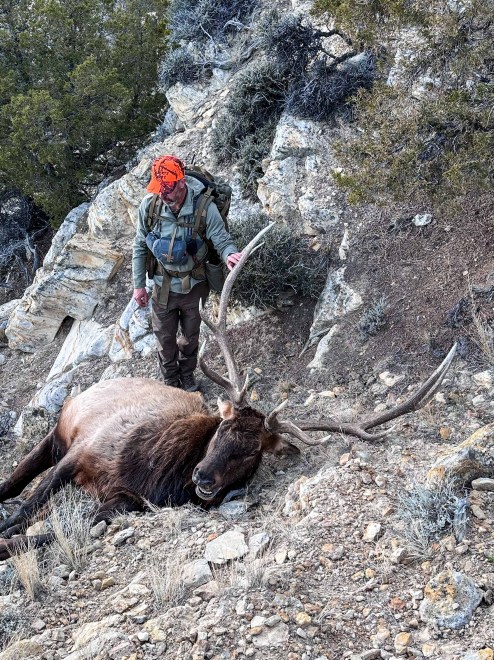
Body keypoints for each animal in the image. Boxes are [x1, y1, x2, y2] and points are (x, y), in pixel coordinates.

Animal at [0, 223, 457, 560]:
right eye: (221, 430)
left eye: (251, 453)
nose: (203, 478)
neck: (154, 469)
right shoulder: (84, 450)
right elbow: (26, 506)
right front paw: (8, 529)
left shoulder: (125, 500)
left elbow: (56, 530)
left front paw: (12, 544)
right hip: (59, 430)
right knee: (16, 481)